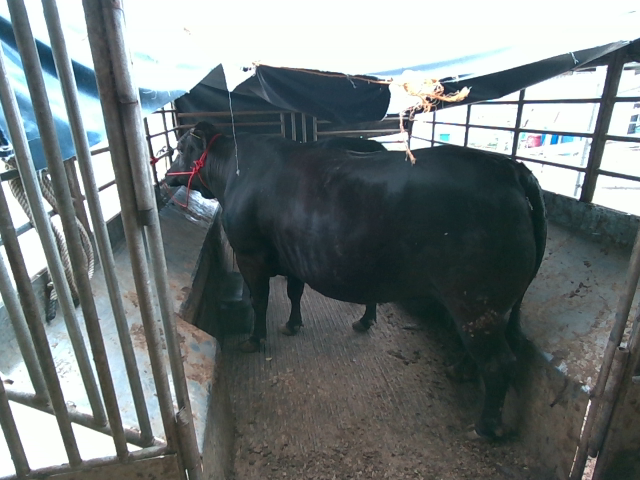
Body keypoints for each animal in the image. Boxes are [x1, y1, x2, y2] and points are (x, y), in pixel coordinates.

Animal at [165, 121, 547, 440]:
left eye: (181, 146)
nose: (168, 175)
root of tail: (510, 168)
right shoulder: (292, 253)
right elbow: (294, 291)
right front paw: (292, 324)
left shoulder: (250, 253)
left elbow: (260, 300)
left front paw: (255, 340)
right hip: (488, 306)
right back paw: (460, 370)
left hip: (476, 298)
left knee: (499, 363)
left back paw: (484, 427)